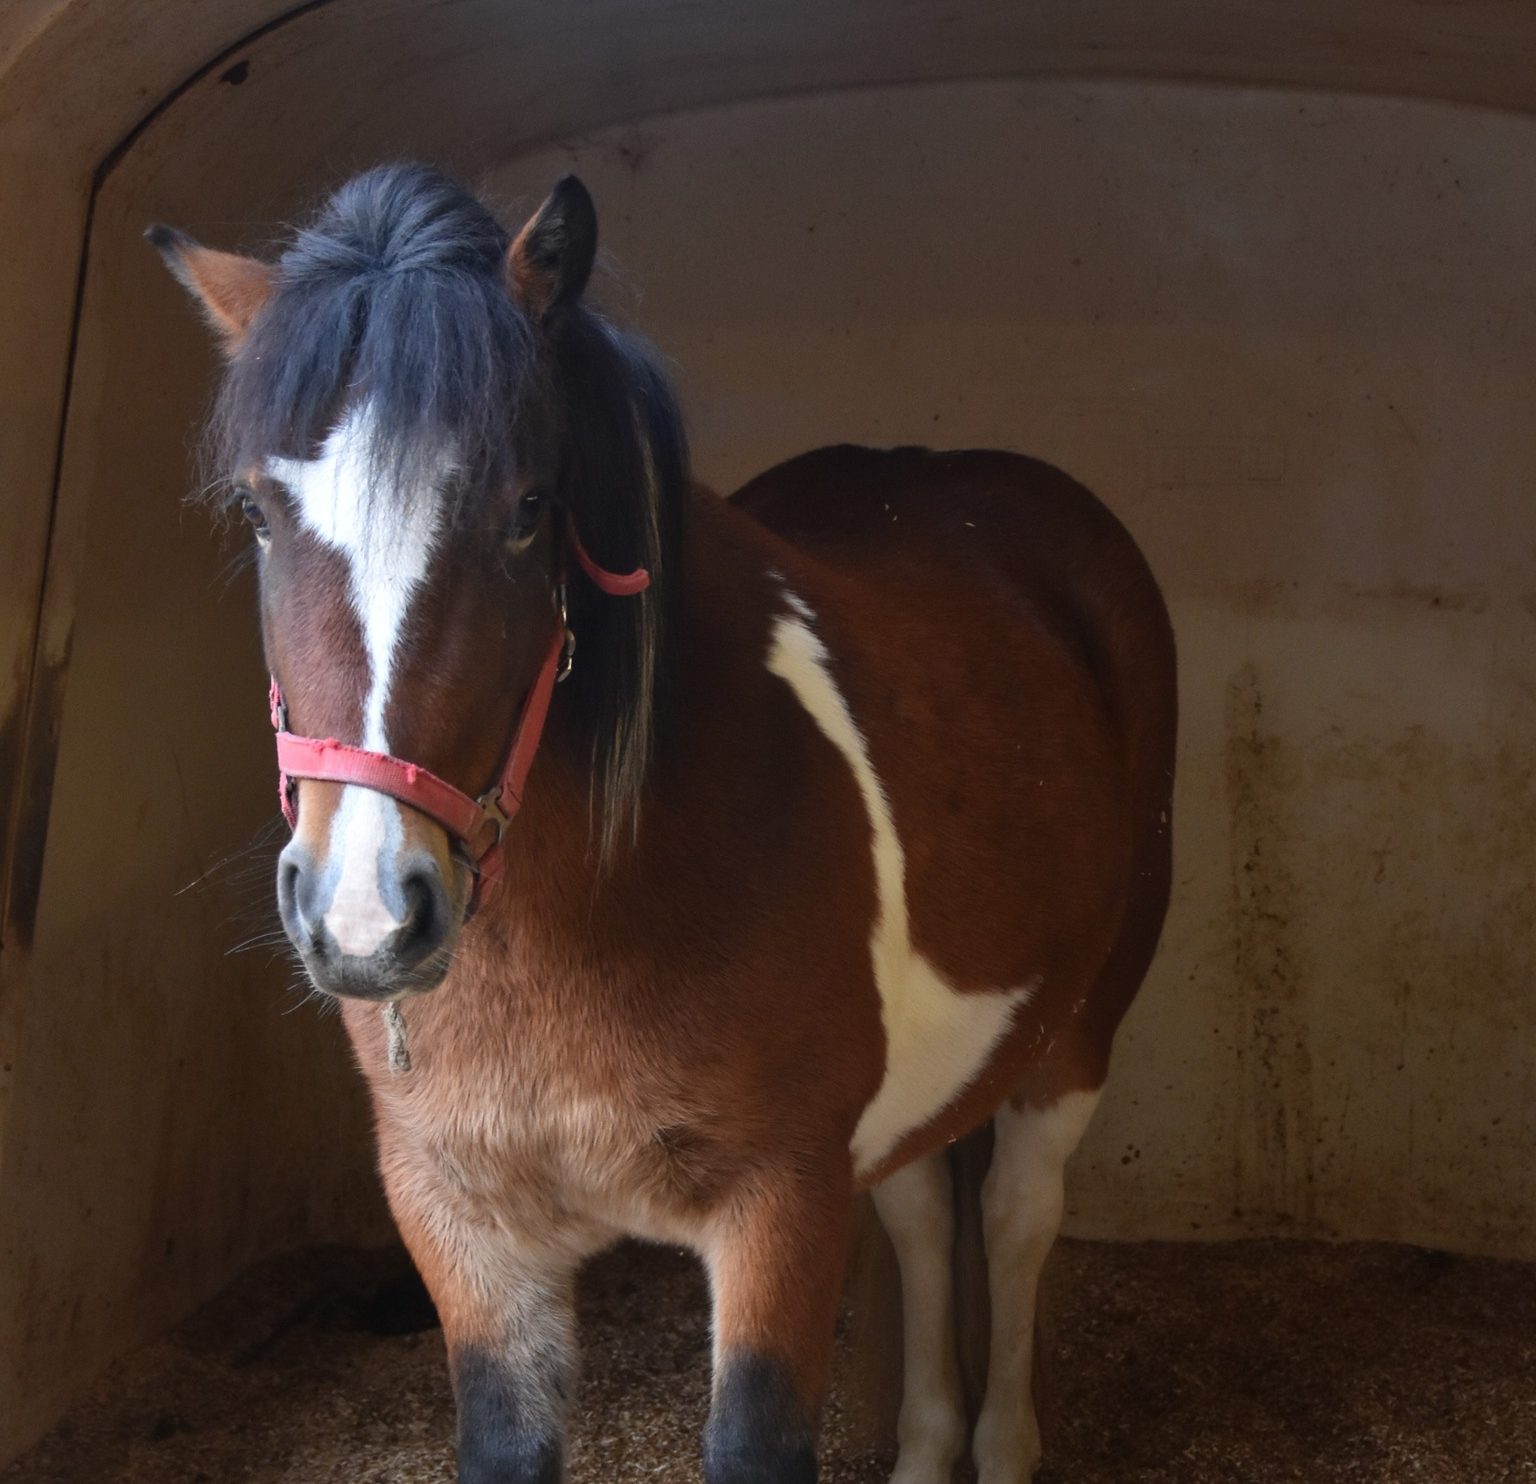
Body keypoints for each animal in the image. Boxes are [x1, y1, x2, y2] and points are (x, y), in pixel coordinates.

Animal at [148, 163, 1176, 1484]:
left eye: (527, 508)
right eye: (259, 513)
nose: (369, 916)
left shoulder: (781, 1208)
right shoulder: (462, 1225)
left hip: (1075, 1035)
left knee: (1012, 1220)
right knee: (922, 1218)